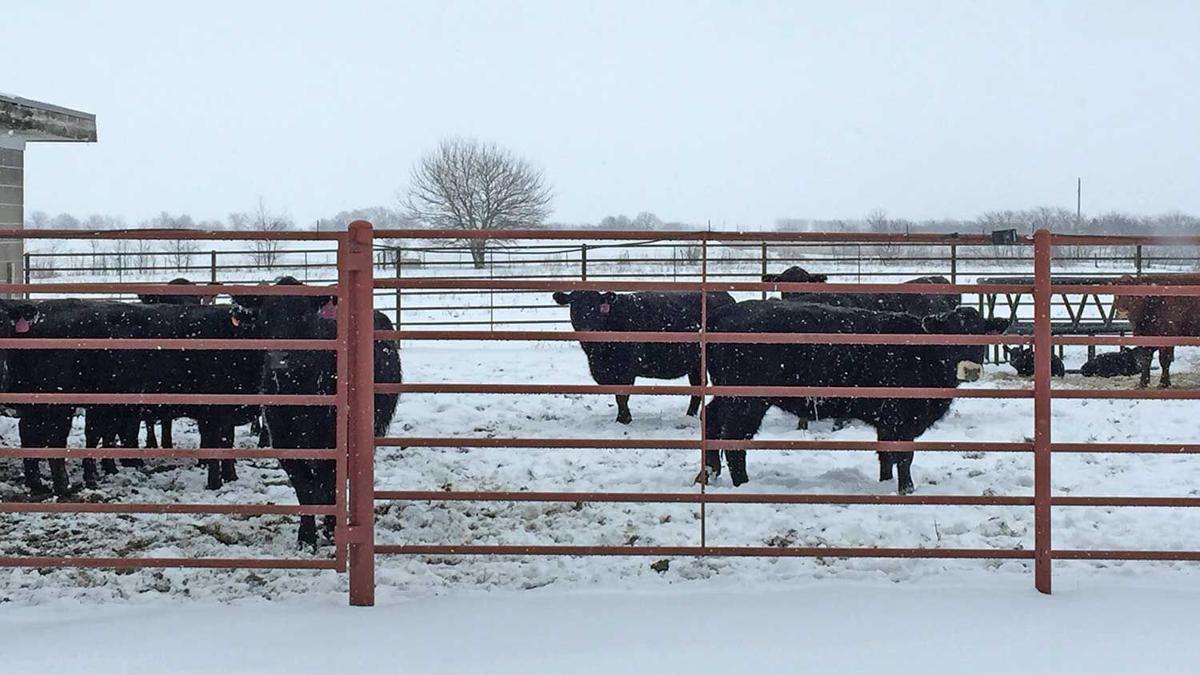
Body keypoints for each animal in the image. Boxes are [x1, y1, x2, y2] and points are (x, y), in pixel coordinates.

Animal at [232, 277, 402, 548]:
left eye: (304, 316)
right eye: (265, 316)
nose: (280, 358)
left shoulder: (335, 442)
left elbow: (328, 483)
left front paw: (331, 530)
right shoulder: (284, 441)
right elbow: (305, 488)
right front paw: (306, 536)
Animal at [552, 290, 737, 424]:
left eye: (595, 306)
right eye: (574, 306)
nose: (586, 329)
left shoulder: (625, 370)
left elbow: (622, 396)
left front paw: (623, 419)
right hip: (696, 363)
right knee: (697, 386)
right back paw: (689, 415)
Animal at [704, 302, 1010, 494]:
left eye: (981, 334)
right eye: (950, 334)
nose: (970, 369)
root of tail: (724, 312)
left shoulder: (887, 421)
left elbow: (886, 456)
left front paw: (885, 484)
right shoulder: (902, 418)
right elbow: (903, 456)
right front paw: (906, 489)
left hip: (727, 396)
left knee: (711, 422)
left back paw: (709, 473)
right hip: (747, 401)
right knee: (734, 441)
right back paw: (742, 484)